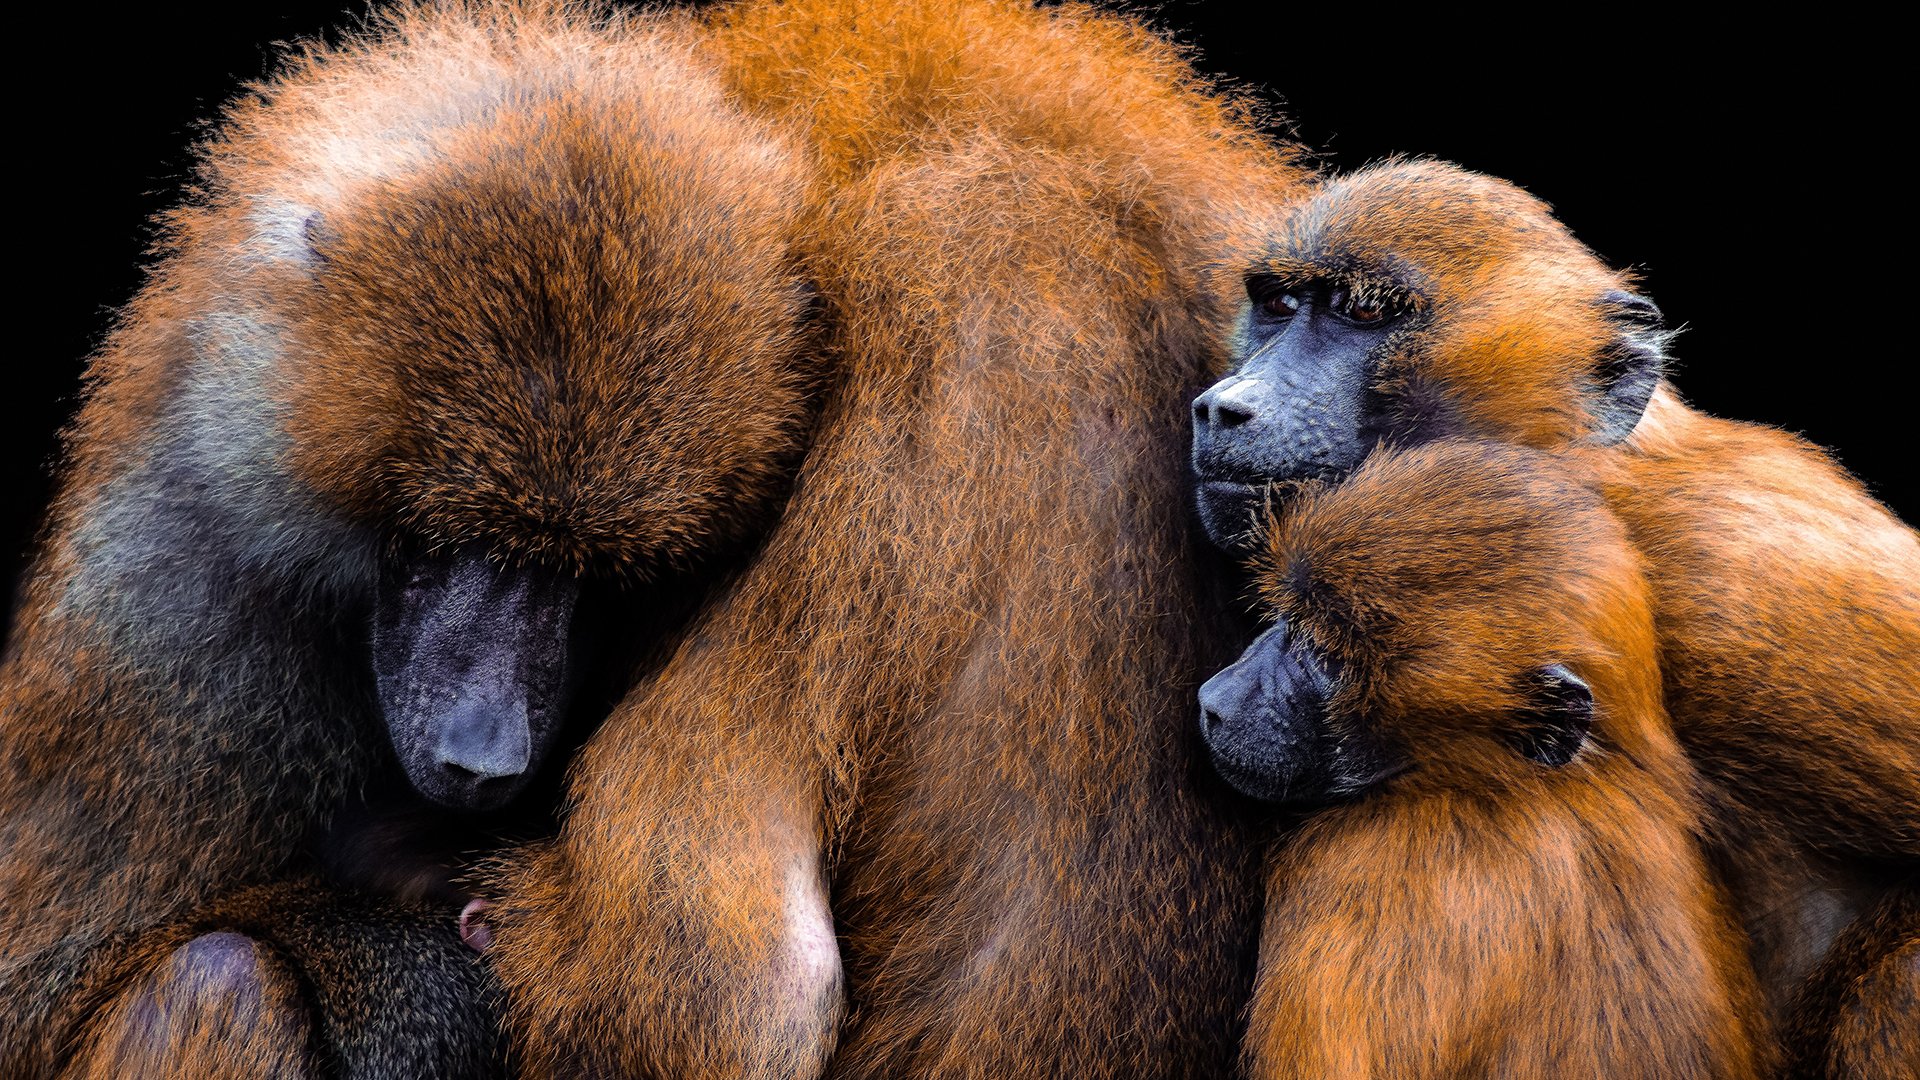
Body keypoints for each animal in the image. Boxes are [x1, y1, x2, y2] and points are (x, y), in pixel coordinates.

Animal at [1, 2, 822, 1073]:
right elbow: (46, 986)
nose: (482, 758)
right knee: (224, 977)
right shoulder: (174, 614)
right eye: (442, 536)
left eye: (591, 575)